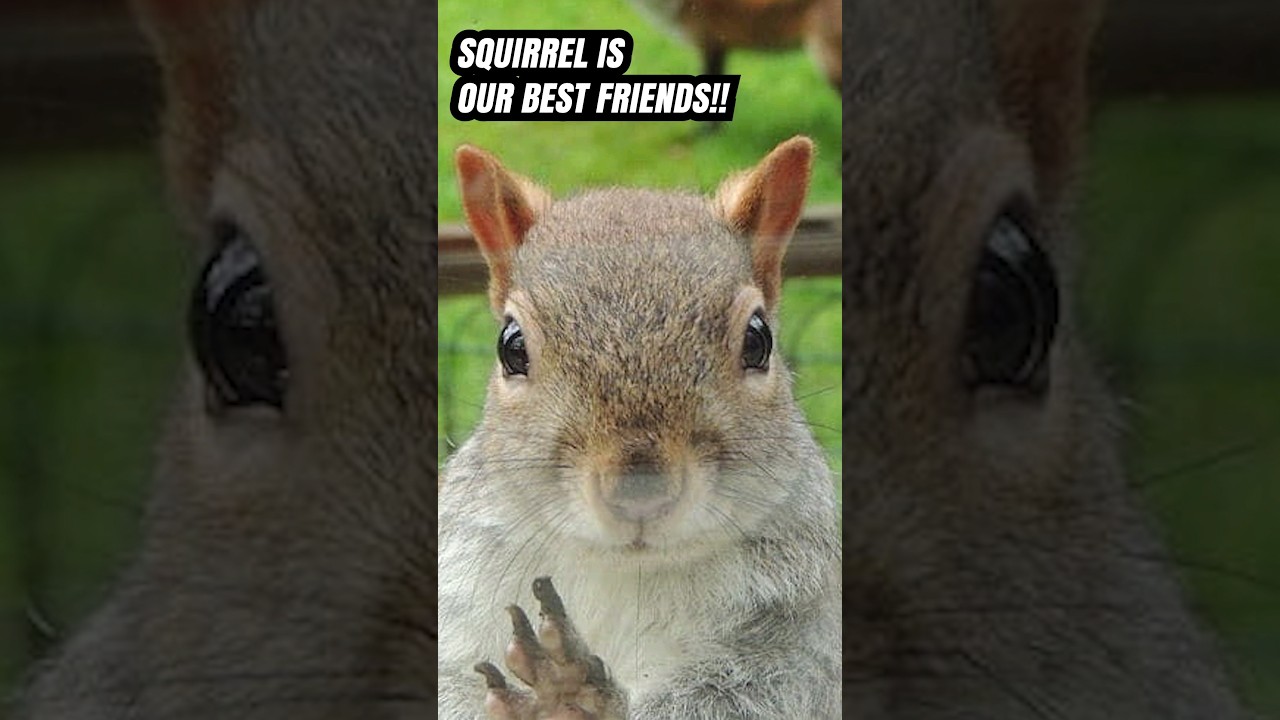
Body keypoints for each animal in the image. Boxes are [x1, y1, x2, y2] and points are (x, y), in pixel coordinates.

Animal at [436, 137, 842, 719]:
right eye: (511, 346)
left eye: (758, 339)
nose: (640, 489)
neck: (623, 572)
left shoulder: (797, 648)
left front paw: (571, 700)